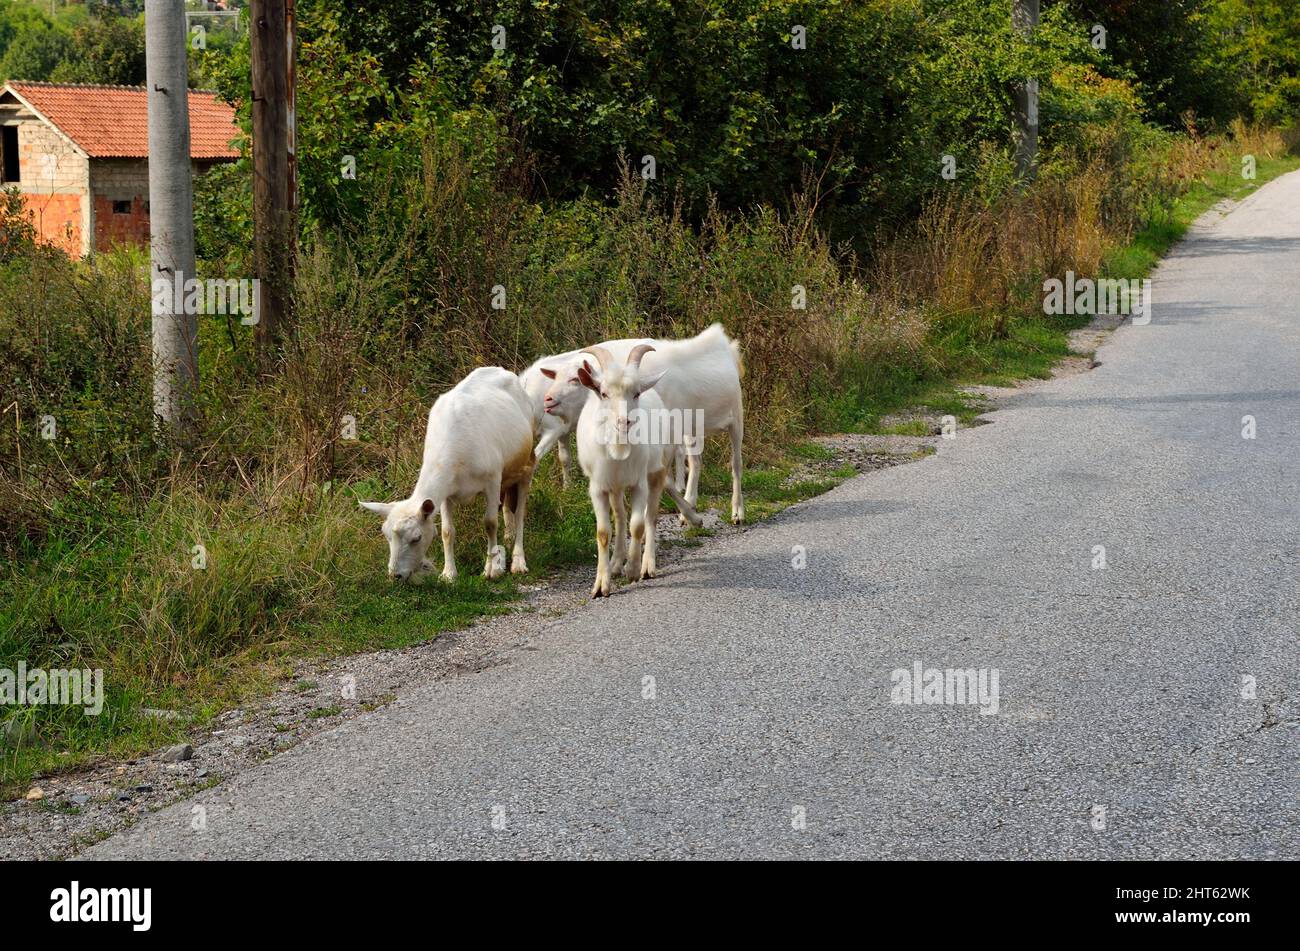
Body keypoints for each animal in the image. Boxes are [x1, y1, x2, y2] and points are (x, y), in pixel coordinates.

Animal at [359, 367, 540, 582]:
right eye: (386, 535)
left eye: (417, 538)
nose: (396, 575)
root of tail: (503, 371)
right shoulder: (446, 492)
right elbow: (447, 532)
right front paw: (448, 574)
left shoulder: (492, 481)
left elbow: (489, 523)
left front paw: (492, 569)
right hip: (508, 472)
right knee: (508, 505)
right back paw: (509, 536)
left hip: (527, 463)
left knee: (520, 511)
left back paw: (519, 561)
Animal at [575, 344, 702, 598]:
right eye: (603, 393)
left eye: (636, 393)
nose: (624, 421)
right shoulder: (598, 487)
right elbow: (603, 532)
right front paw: (601, 585)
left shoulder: (639, 483)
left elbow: (638, 525)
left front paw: (632, 570)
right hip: (615, 486)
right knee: (620, 515)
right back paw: (616, 562)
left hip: (656, 469)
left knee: (650, 515)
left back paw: (647, 565)